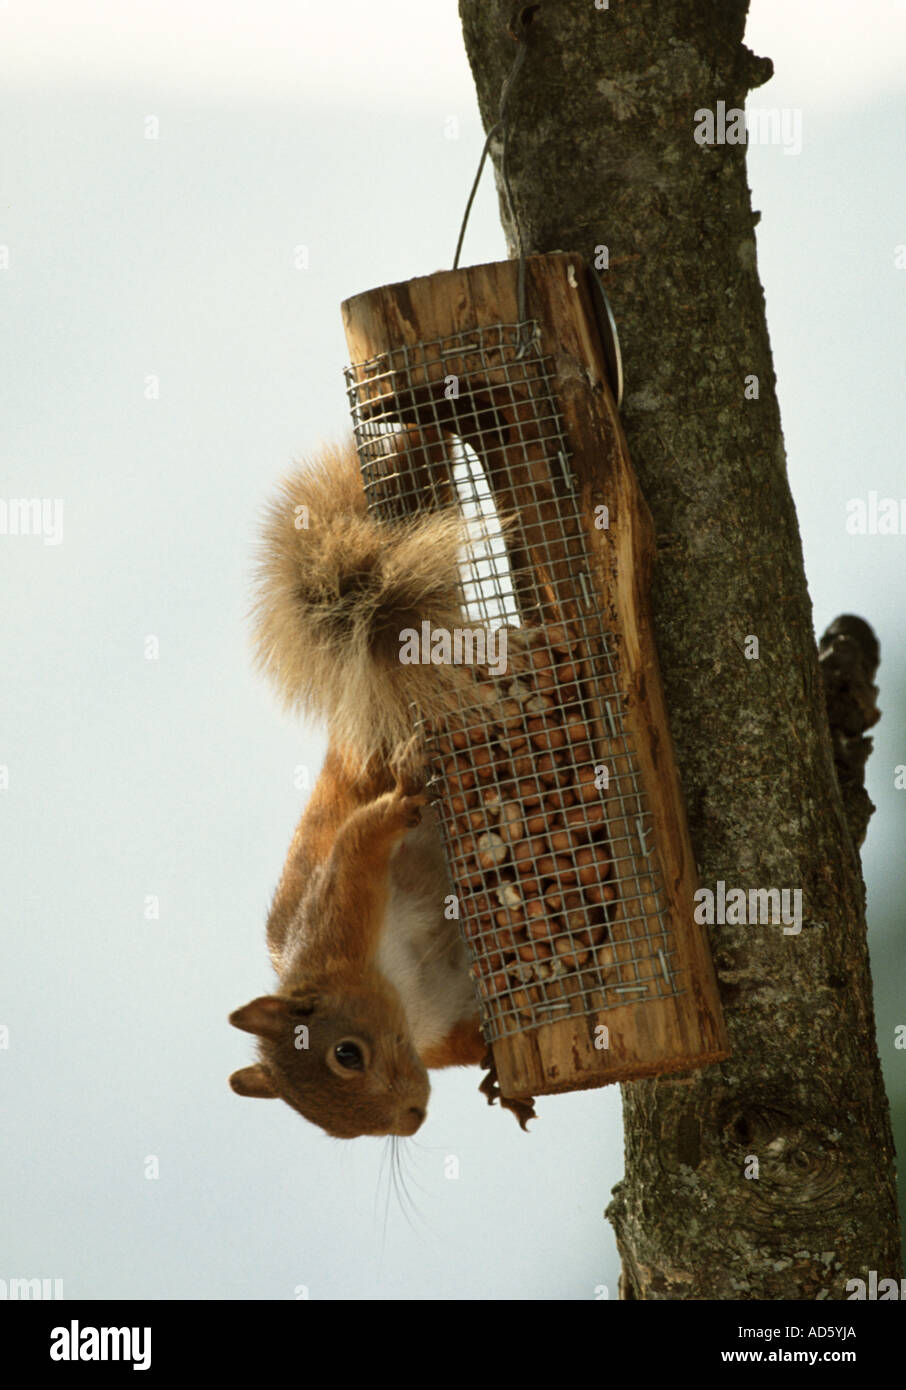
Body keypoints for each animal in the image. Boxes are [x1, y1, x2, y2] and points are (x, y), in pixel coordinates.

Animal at [229, 436, 495, 1139]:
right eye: (334, 1131)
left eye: (346, 1054)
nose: (412, 1118)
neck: (406, 991)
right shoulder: (446, 1024)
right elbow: (474, 1039)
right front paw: (503, 1077)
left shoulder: (337, 911)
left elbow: (360, 838)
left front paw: (403, 801)